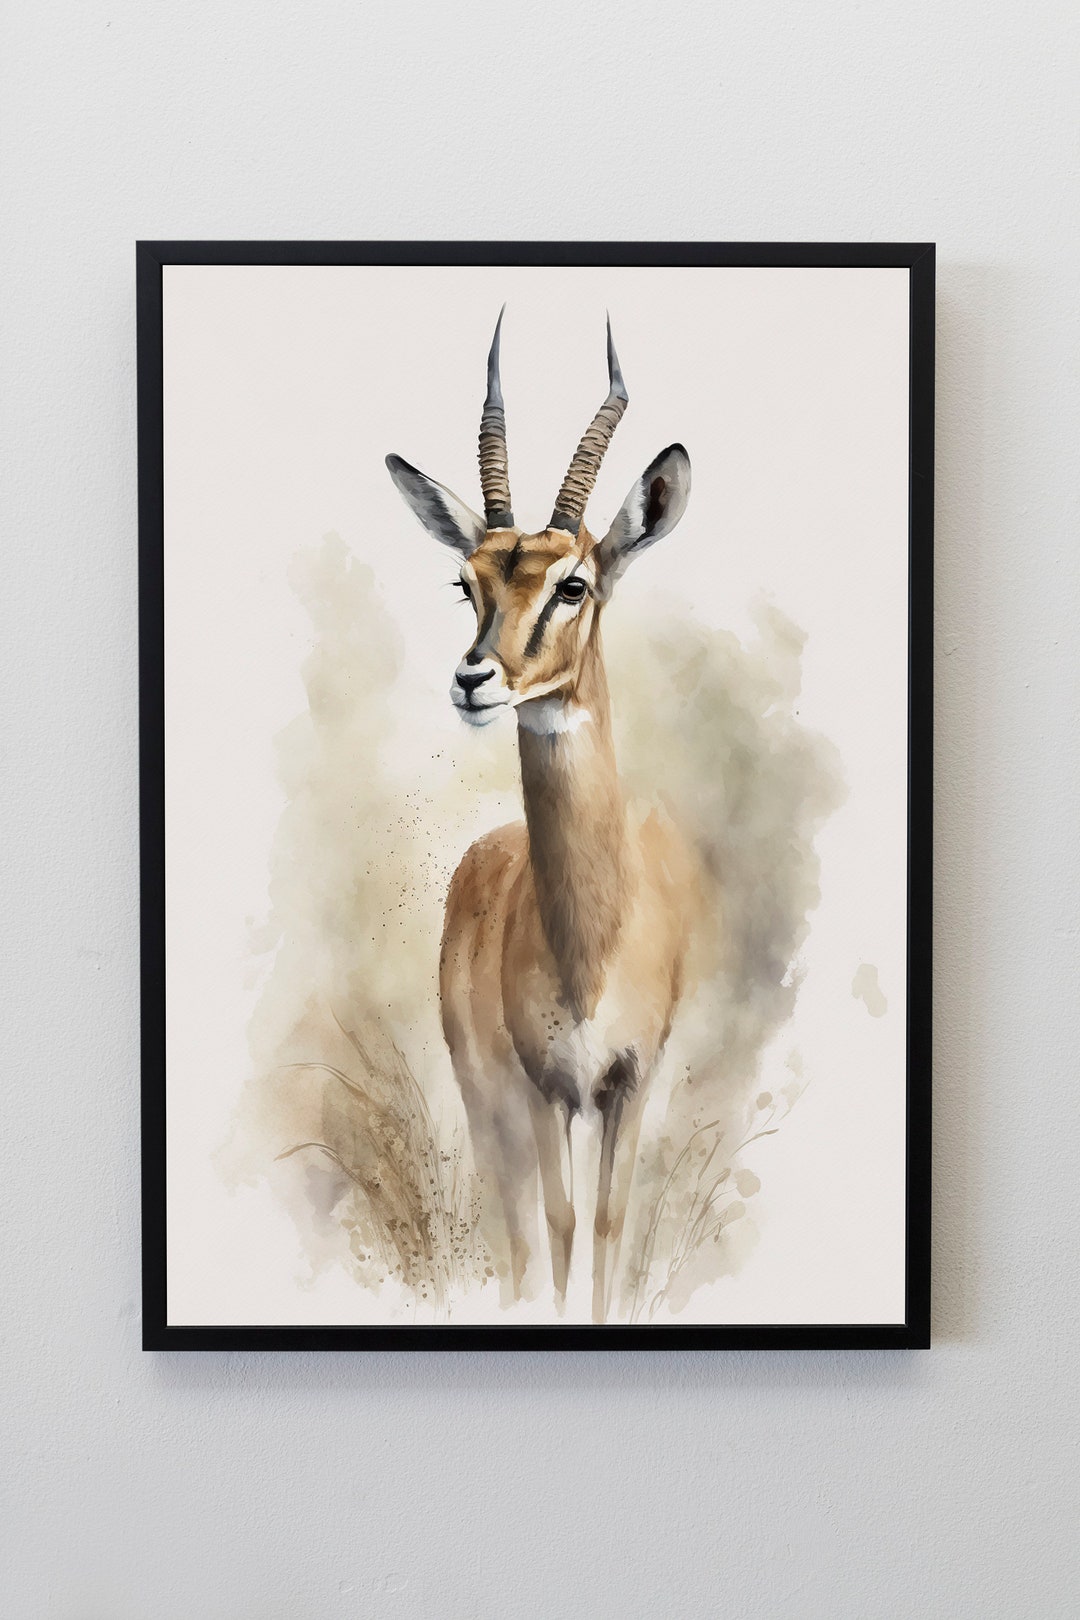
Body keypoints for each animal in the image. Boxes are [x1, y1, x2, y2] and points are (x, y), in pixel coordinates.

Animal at [386, 311, 695, 1321]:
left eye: (572, 582)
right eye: (467, 582)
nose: (474, 679)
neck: (591, 941)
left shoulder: (627, 1082)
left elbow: (606, 1228)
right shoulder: (544, 1084)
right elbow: (558, 1229)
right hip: (485, 1097)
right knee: (513, 1215)